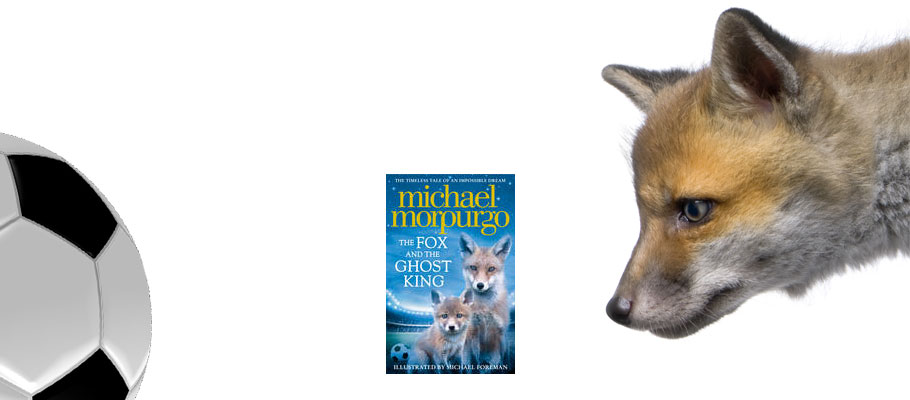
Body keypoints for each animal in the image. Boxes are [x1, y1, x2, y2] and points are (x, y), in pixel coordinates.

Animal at [459, 233, 511, 368]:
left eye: (491, 269)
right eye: (473, 267)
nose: (480, 285)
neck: (484, 307)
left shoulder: (501, 334)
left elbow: (502, 361)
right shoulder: (472, 332)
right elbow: (471, 363)